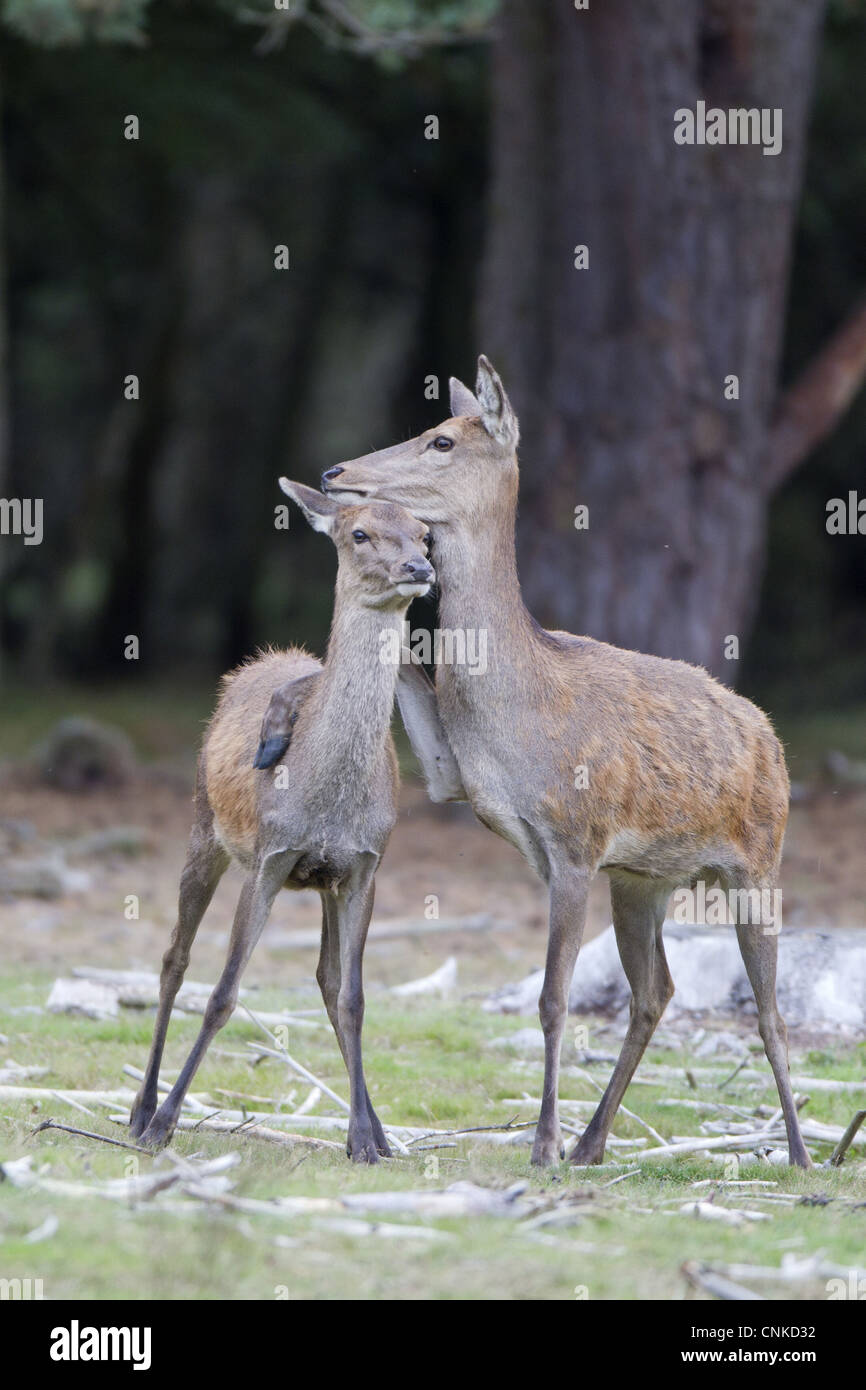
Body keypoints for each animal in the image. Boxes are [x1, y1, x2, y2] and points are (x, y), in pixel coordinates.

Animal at [129, 481, 434, 1162]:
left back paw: (376, 1131)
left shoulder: (365, 866)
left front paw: (366, 1141)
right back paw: (139, 1110)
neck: (327, 798)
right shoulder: (268, 859)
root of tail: (263, 659)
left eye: (426, 533)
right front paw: (165, 1124)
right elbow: (222, 994)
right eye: (359, 533)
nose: (419, 568)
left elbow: (353, 998)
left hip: (321, 883)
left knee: (325, 977)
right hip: (203, 827)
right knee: (174, 957)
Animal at [319, 355, 811, 1170]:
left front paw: (542, 1143)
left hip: (759, 858)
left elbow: (554, 998)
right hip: (644, 878)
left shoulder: (577, 843)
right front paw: (557, 1139)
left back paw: (800, 1153)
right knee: (656, 990)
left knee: (769, 1009)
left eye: (443, 439)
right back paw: (594, 1142)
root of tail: (769, 736)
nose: (335, 472)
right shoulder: (507, 818)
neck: (526, 714)